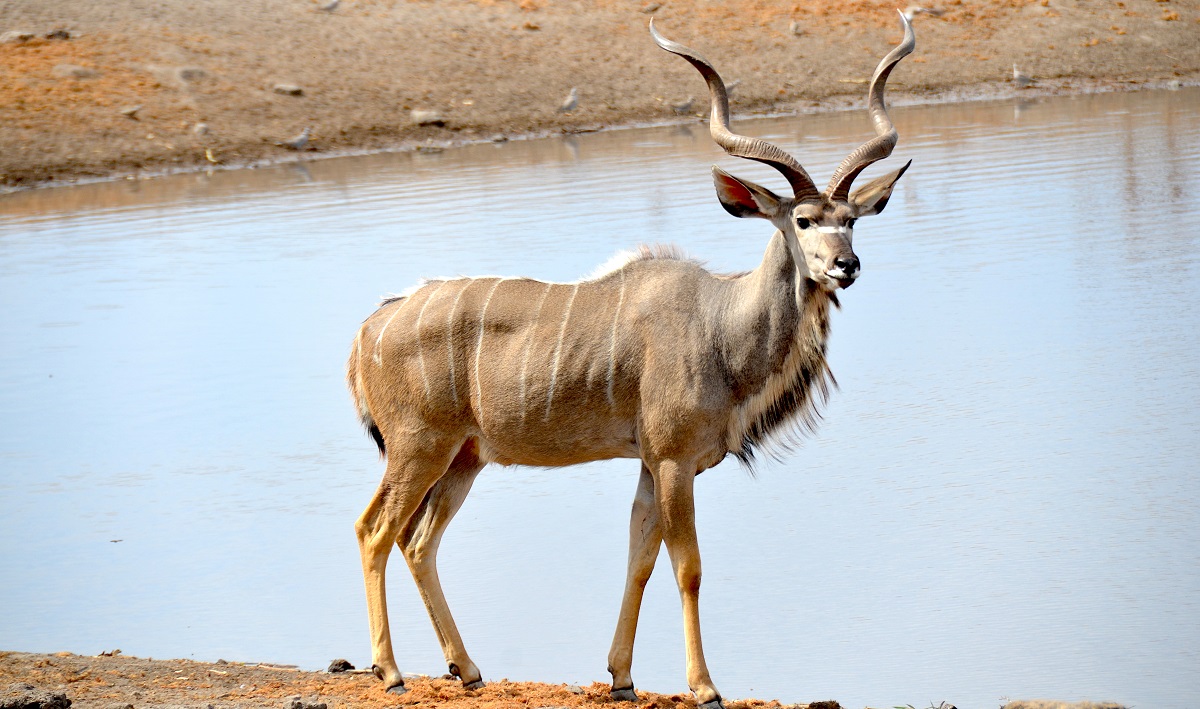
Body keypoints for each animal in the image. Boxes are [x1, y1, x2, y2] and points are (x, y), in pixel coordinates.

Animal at [346, 13, 916, 708]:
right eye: (803, 221)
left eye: (853, 220)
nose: (845, 265)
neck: (718, 320)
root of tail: (370, 327)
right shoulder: (672, 460)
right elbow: (687, 566)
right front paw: (704, 685)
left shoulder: (651, 464)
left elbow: (639, 559)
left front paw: (621, 676)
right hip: (418, 446)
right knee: (375, 530)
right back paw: (391, 671)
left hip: (463, 457)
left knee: (419, 540)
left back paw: (468, 667)